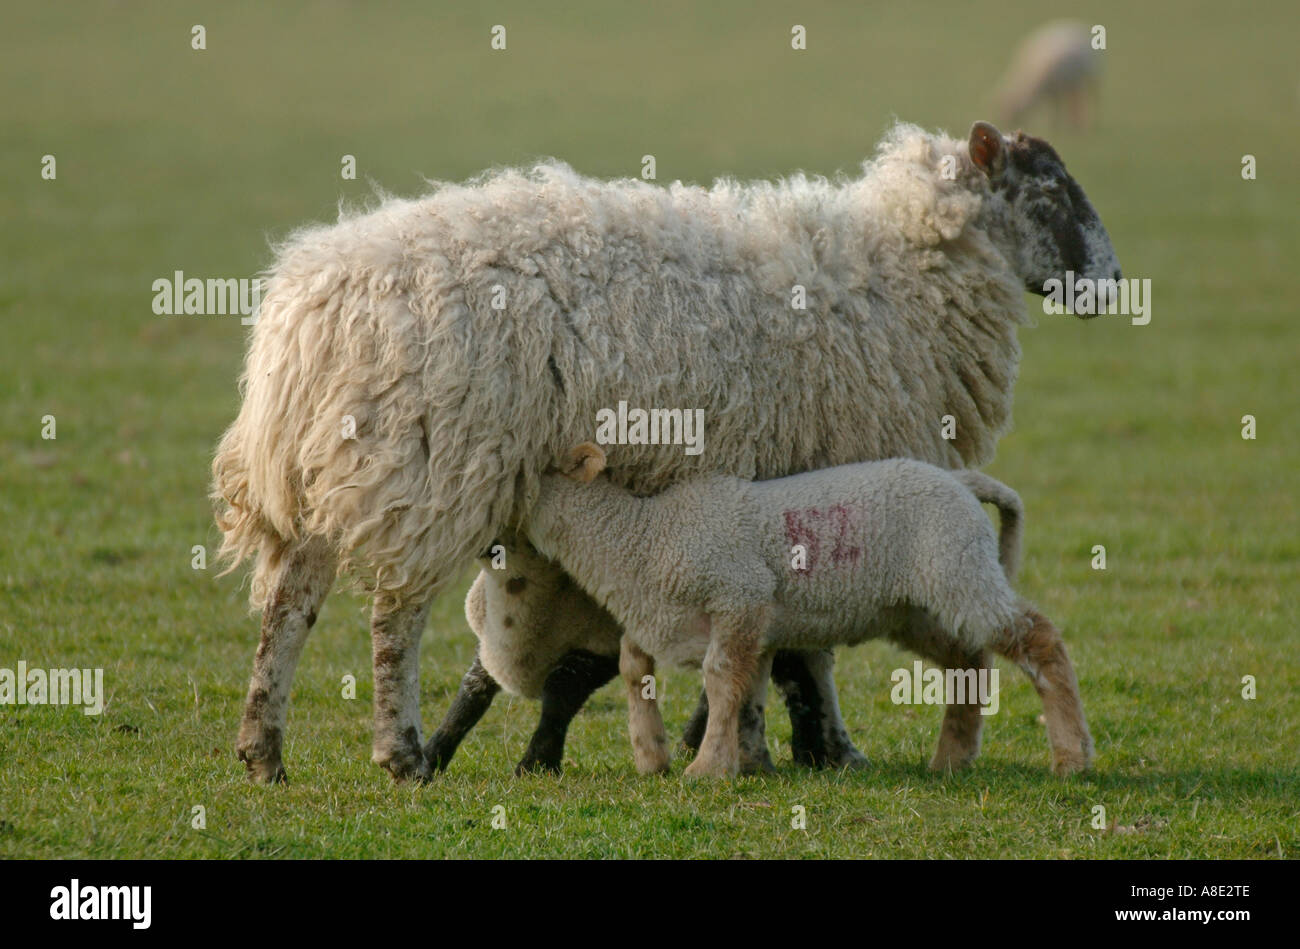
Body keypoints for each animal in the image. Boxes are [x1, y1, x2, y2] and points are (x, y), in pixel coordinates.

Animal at [526, 443, 1093, 779]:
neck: (643, 538)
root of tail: (960, 482)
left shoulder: (741, 593)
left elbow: (721, 678)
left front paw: (708, 768)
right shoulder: (684, 618)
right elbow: (638, 665)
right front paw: (655, 754)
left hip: (957, 568)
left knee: (1040, 640)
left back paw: (1071, 757)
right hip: (917, 604)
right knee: (969, 659)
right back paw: (951, 758)